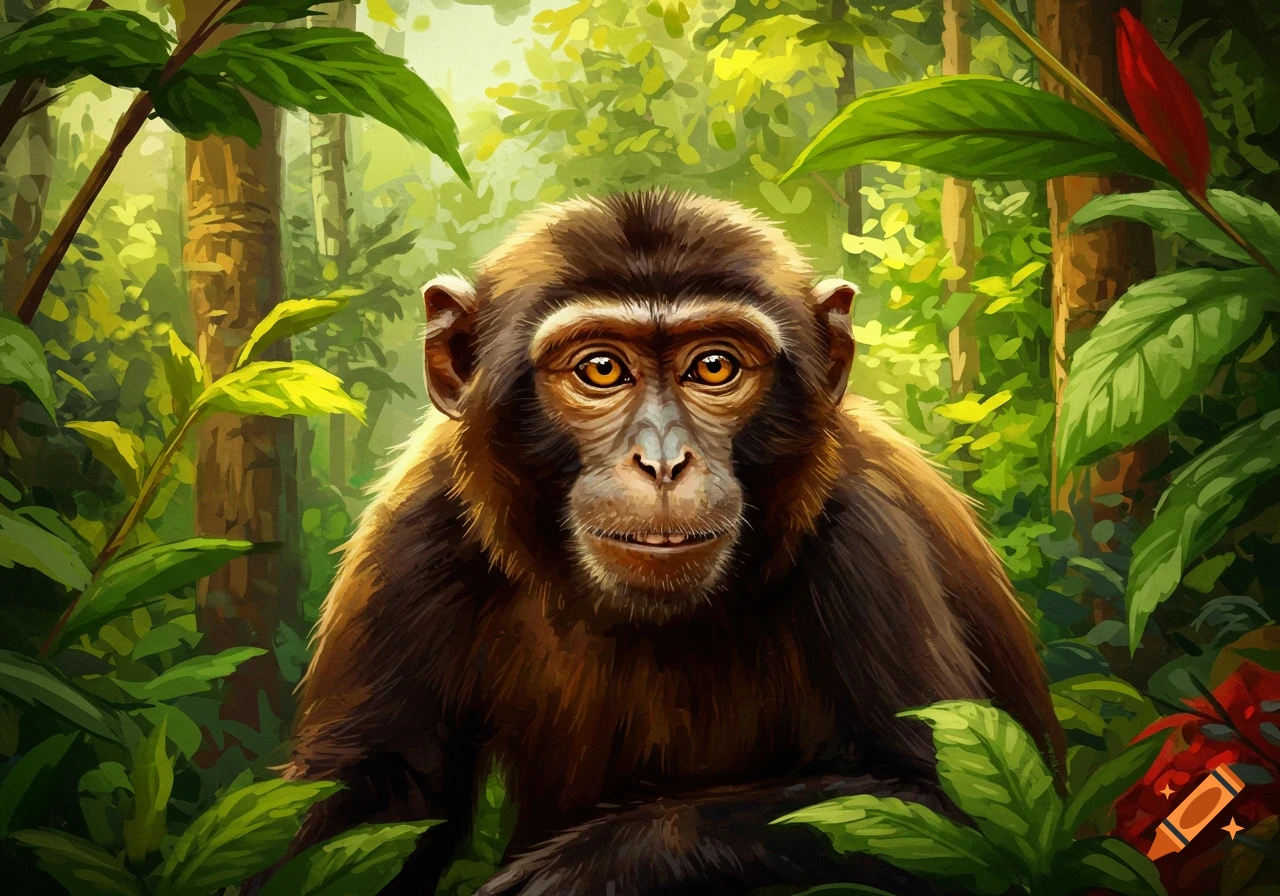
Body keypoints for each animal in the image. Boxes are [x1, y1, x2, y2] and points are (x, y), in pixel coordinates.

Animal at [281, 189, 1062, 896]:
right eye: (601, 369)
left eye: (713, 367)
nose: (662, 459)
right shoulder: (415, 529)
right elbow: (368, 801)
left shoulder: (865, 534)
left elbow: (948, 815)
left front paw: (570, 875)